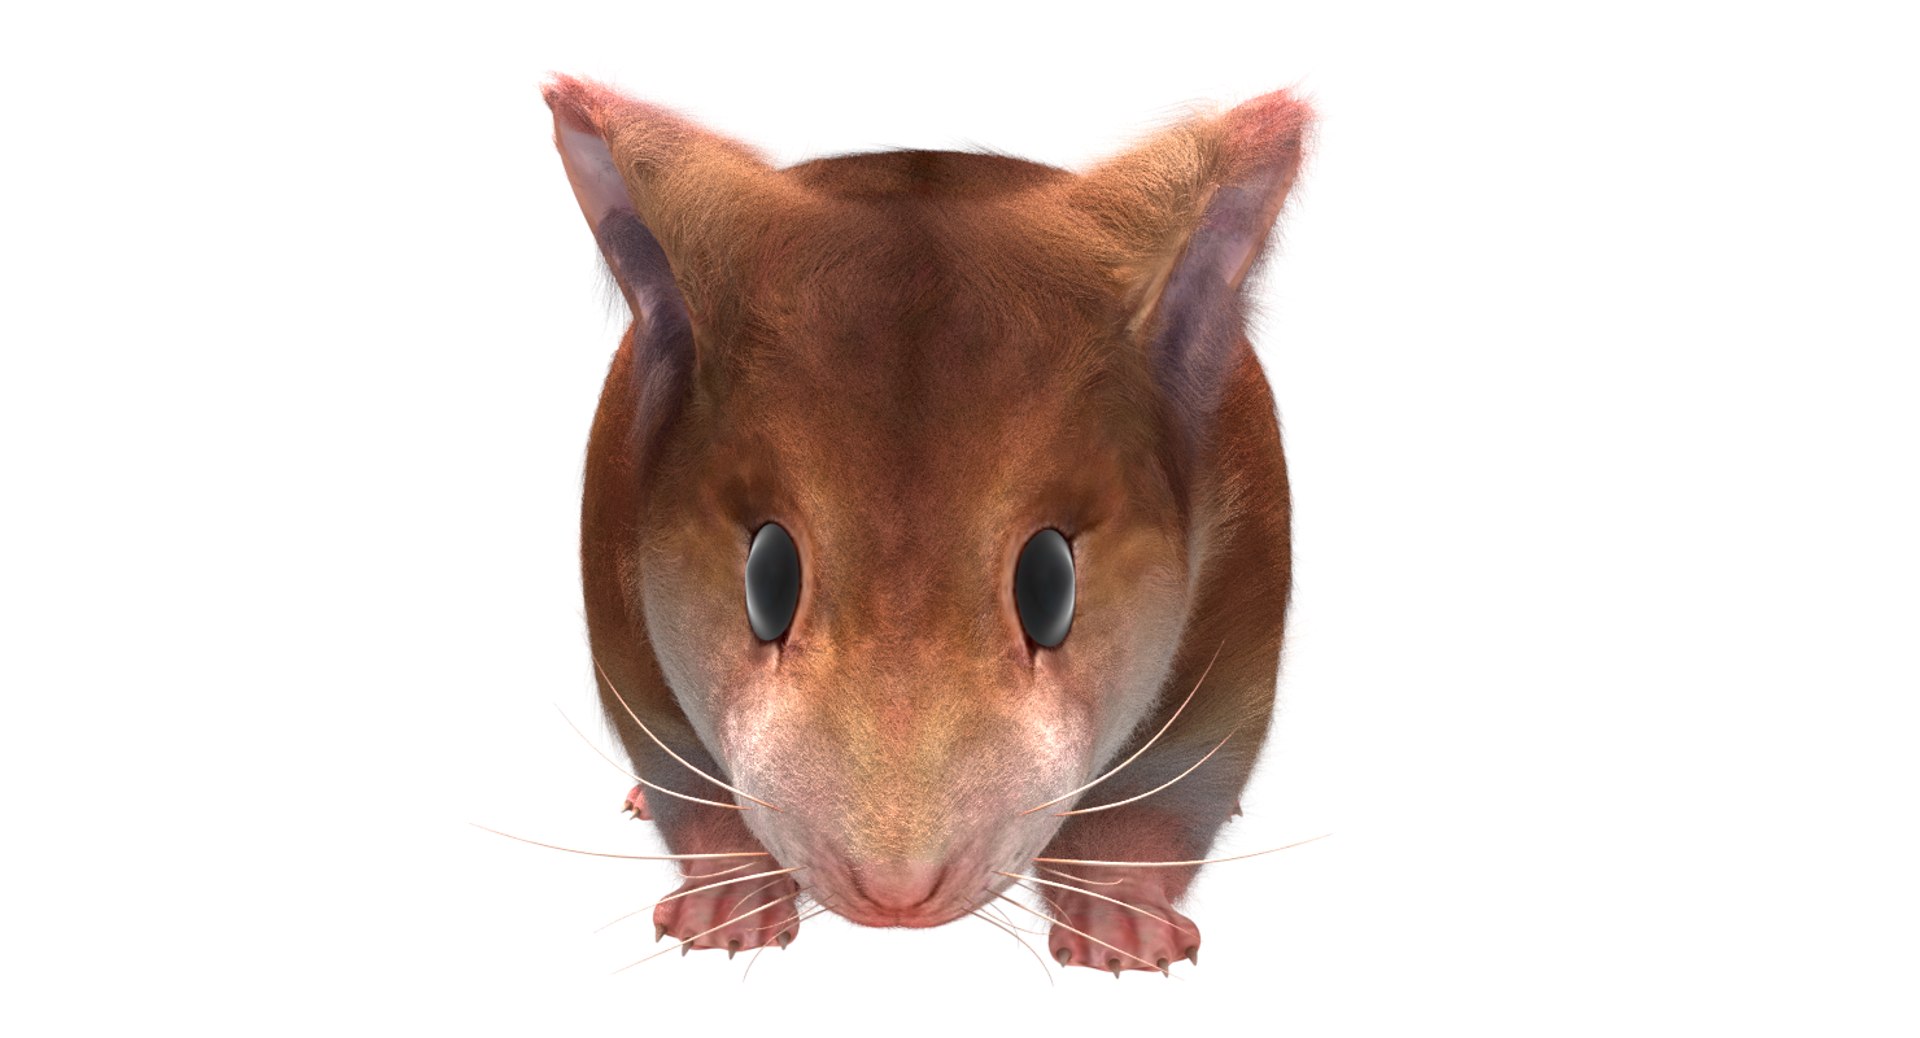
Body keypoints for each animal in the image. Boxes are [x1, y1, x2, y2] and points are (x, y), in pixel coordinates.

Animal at [542, 74, 1311, 975]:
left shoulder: (1234, 626)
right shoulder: (628, 630)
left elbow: (1161, 799)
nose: (896, 896)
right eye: (766, 581)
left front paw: (1119, 933)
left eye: (1051, 589)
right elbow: (690, 786)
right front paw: (728, 912)